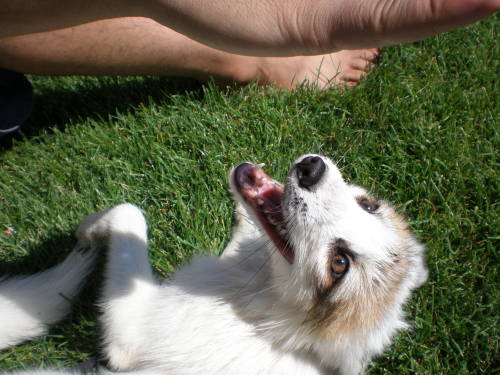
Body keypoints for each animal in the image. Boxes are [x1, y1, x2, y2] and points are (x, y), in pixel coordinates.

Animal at [0, 154, 430, 374]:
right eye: (369, 206)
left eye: (339, 264)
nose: (312, 168)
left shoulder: (130, 337)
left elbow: (129, 214)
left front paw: (87, 232)